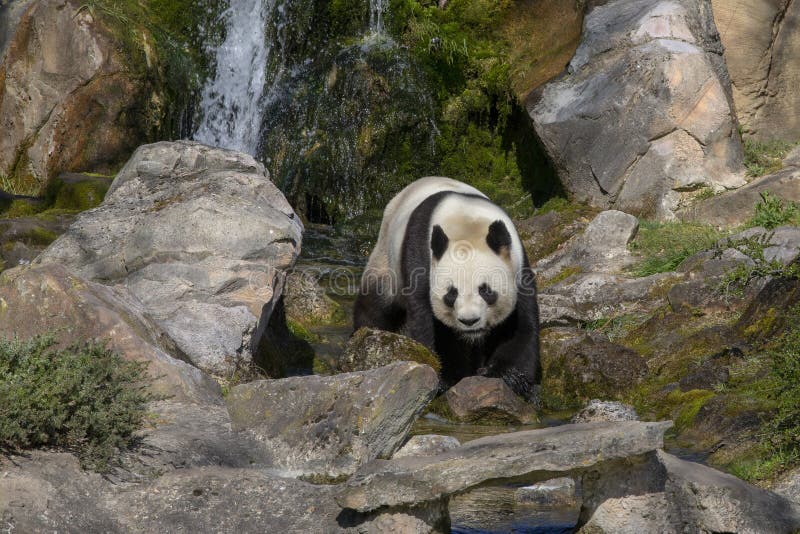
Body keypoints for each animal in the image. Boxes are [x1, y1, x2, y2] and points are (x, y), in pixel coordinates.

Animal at [354, 176, 540, 400]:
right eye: (451, 293)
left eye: (486, 290)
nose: (469, 321)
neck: (467, 221)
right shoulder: (422, 257)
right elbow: (429, 323)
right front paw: (446, 377)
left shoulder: (517, 265)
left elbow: (519, 326)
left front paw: (507, 376)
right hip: (387, 261)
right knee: (376, 306)